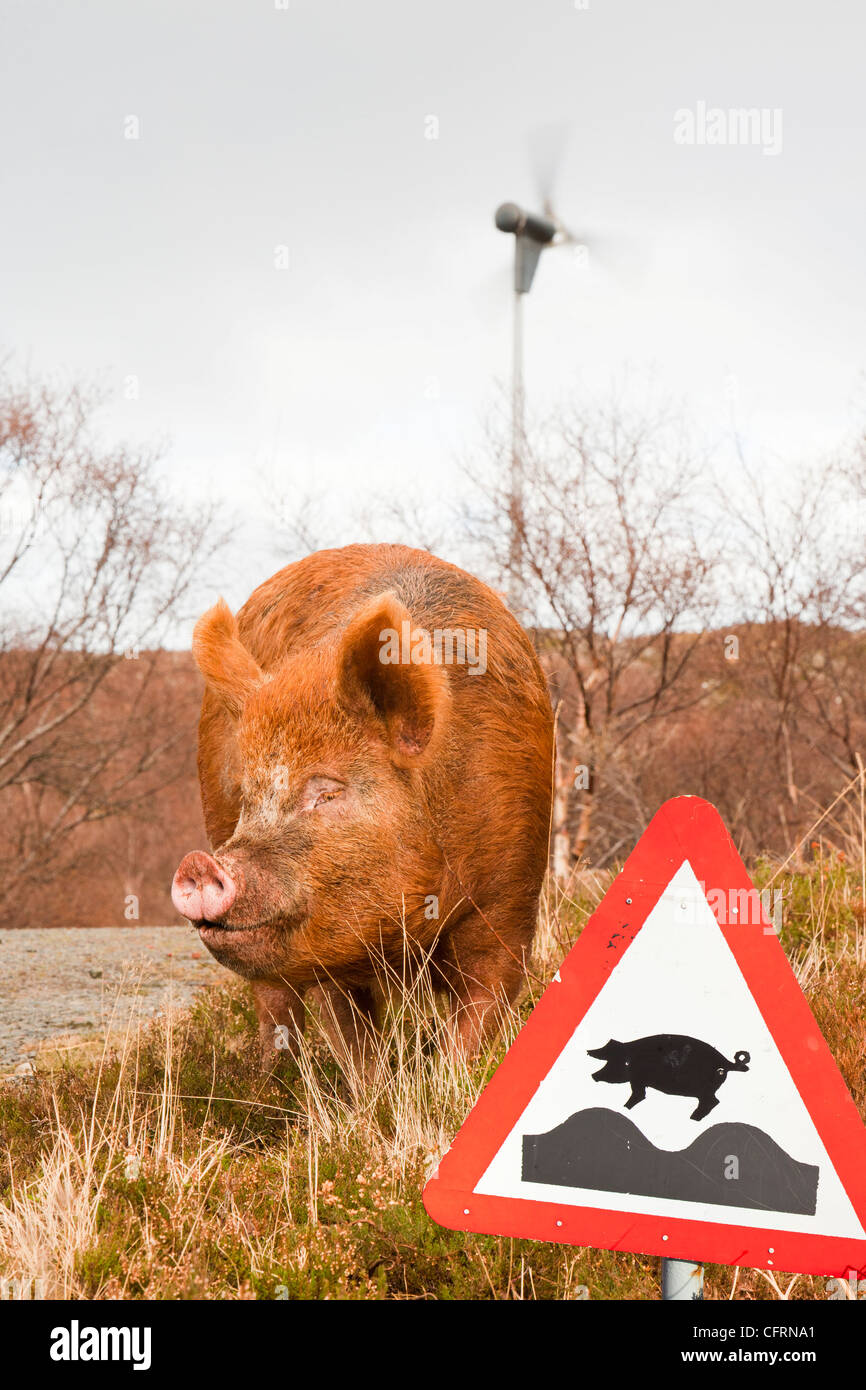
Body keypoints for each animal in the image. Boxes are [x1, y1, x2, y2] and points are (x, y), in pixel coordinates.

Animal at [171, 543, 554, 1073]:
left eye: (329, 792)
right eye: (250, 796)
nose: (200, 864)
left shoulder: (509, 905)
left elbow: (481, 1010)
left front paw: (449, 1078)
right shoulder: (329, 942)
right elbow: (351, 1036)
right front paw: (376, 1090)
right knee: (274, 1001)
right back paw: (272, 1079)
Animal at [587, 1033, 751, 1121]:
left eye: (620, 1062)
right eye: (608, 1060)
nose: (593, 1076)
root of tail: (725, 1062)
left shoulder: (638, 1080)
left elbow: (638, 1095)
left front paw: (625, 1108)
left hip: (705, 1090)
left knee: (713, 1101)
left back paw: (693, 1118)